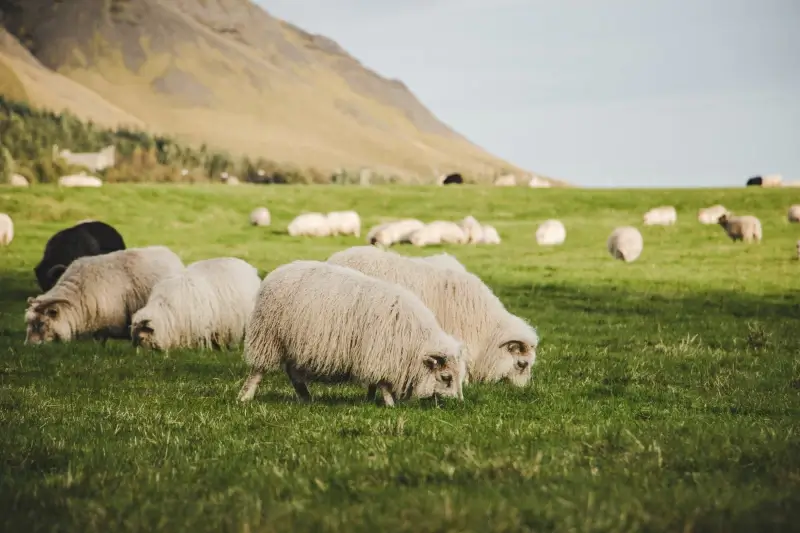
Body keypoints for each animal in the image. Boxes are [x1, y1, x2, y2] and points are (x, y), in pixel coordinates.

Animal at [237, 260, 466, 406]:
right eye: (445, 377)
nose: (458, 404)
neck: (414, 341)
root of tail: (275, 273)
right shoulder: (379, 354)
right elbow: (383, 383)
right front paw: (390, 404)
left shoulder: (373, 356)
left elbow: (374, 382)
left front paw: (370, 400)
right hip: (268, 336)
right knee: (258, 370)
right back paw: (245, 397)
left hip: (294, 343)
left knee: (293, 374)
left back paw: (306, 398)